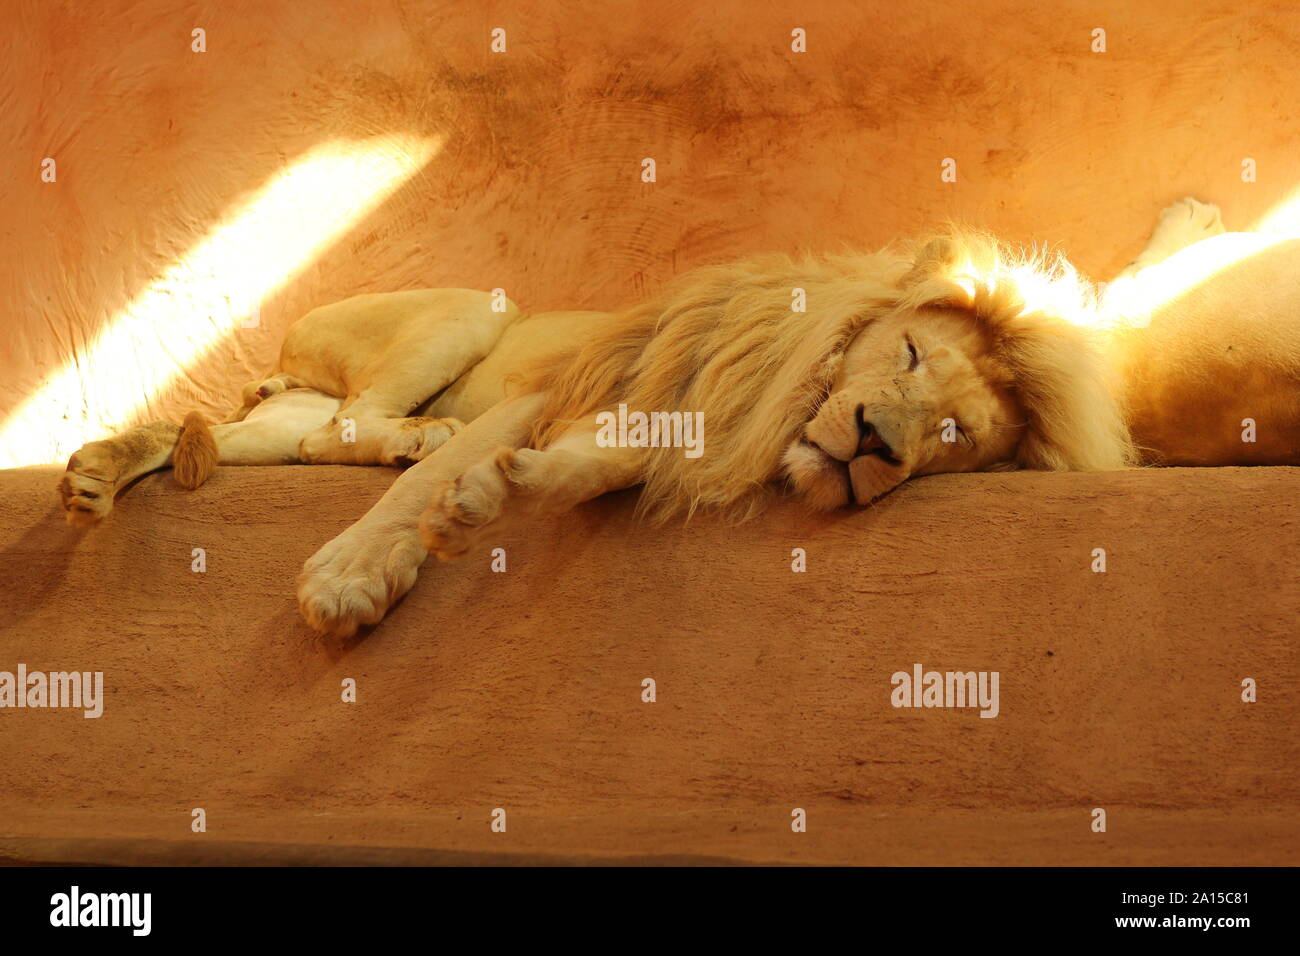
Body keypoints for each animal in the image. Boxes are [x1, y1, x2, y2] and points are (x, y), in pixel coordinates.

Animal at [57, 199, 1300, 638]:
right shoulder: (552, 380)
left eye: (956, 441)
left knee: (235, 437)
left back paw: (93, 475)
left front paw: (523, 485)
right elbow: (418, 496)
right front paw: (353, 578)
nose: (875, 444)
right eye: (904, 355)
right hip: (468, 309)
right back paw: (408, 440)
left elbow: (604, 466)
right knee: (354, 428)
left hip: (271, 422)